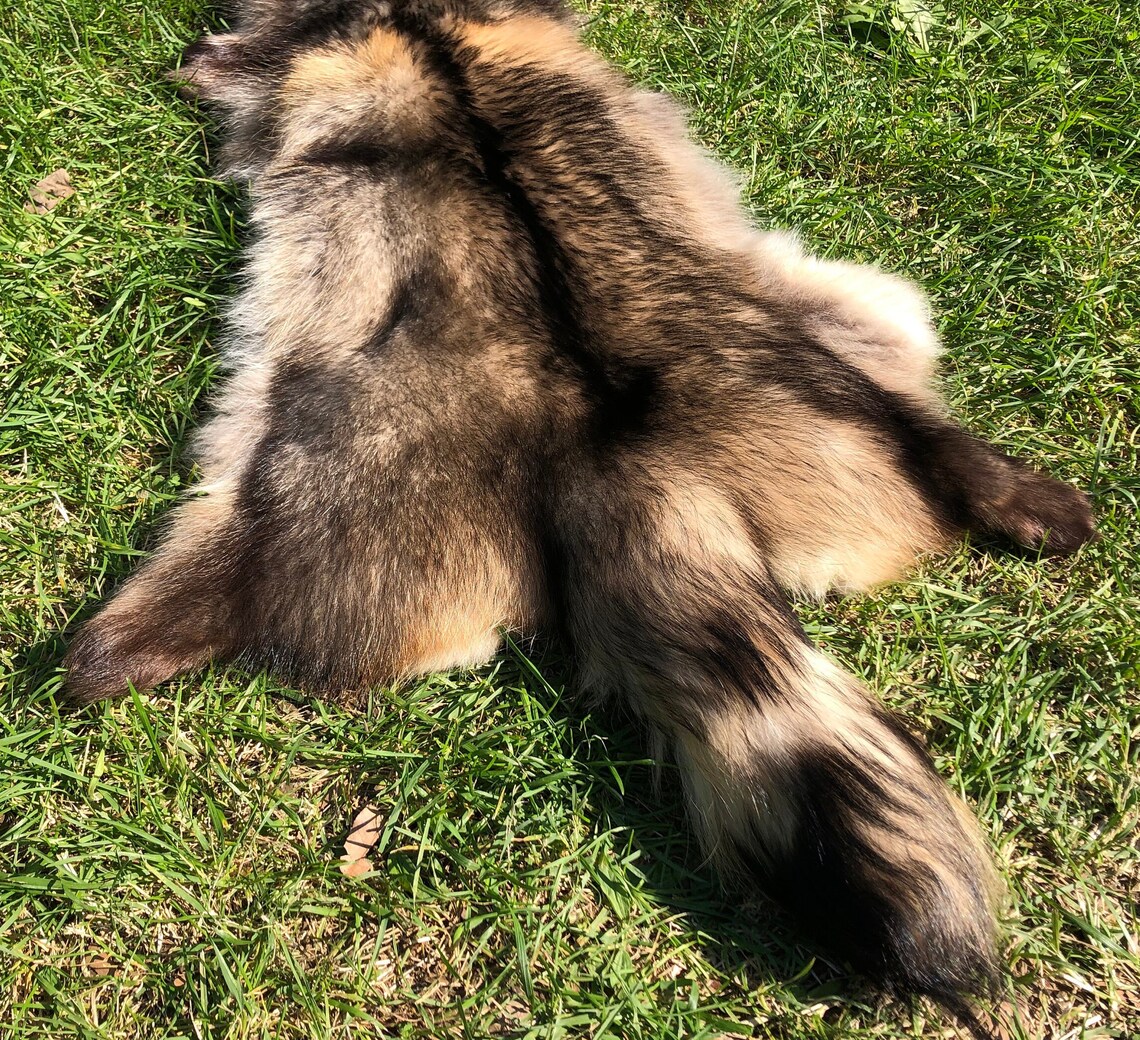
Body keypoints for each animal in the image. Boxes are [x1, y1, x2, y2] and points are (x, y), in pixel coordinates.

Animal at [64, 0, 1095, 1014]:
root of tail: (620, 450)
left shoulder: (283, 45)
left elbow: (223, 63)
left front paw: (198, 52)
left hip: (319, 490)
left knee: (224, 549)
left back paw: (120, 644)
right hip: (835, 363)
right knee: (924, 414)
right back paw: (1019, 493)